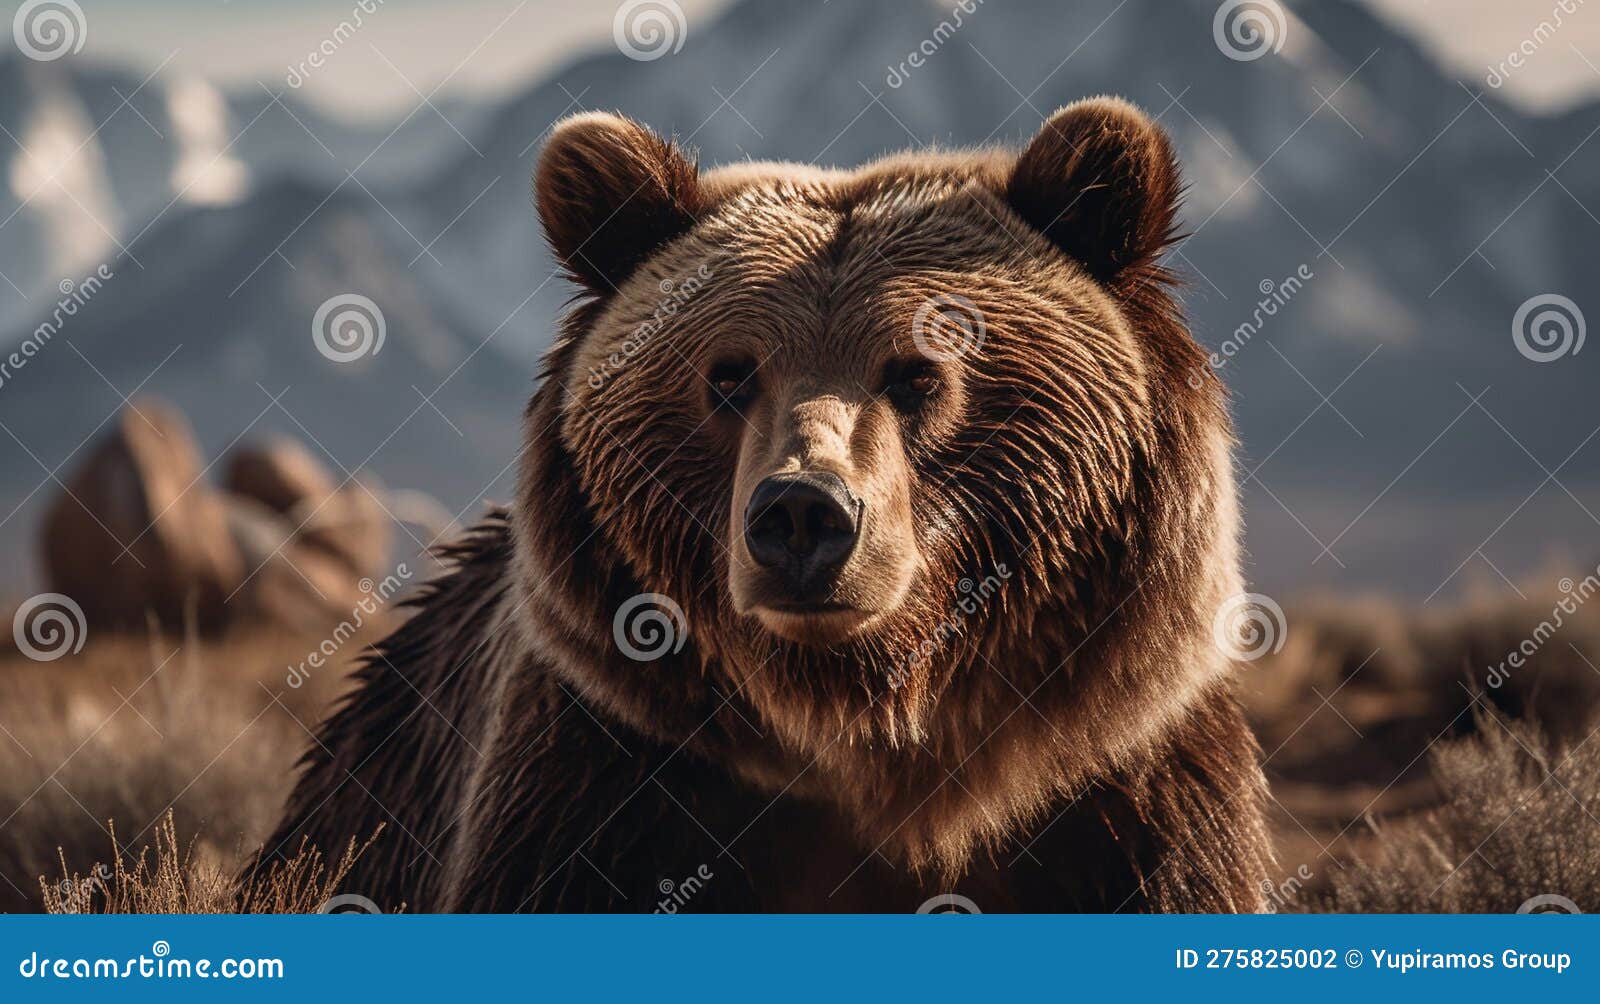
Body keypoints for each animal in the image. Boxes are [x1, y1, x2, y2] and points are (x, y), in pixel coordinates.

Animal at [258, 97, 1273, 913]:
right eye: (730, 374)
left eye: (918, 373)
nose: (802, 516)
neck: (866, 737)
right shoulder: (606, 770)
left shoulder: (1125, 791)